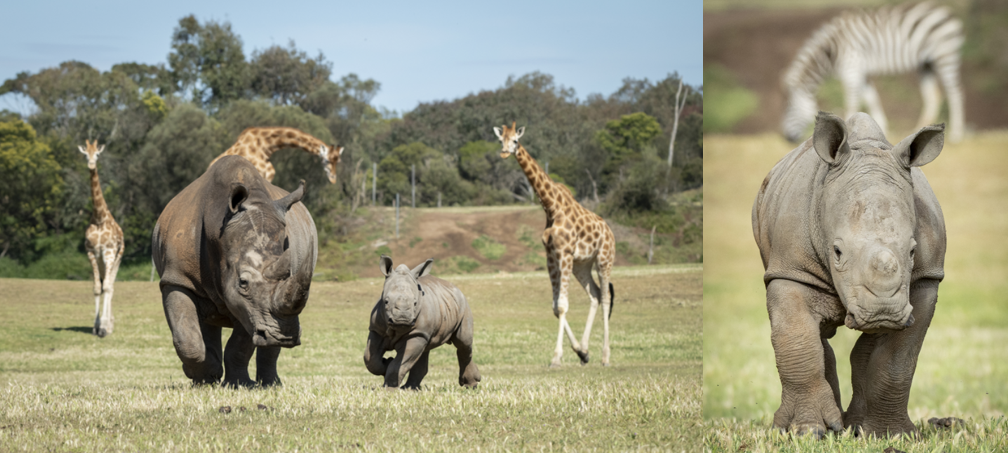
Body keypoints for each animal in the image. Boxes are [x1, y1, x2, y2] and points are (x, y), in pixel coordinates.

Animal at [152, 155, 317, 387]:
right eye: (243, 282)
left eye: (288, 275)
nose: (284, 336)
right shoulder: (177, 278)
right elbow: (187, 337)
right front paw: (204, 377)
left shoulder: (252, 308)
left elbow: (240, 344)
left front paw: (239, 384)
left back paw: (270, 385)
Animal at [364, 256, 481, 389]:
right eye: (386, 301)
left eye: (415, 303)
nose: (402, 319)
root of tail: (455, 287)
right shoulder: (376, 330)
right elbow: (370, 358)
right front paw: (386, 363)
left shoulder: (417, 333)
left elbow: (400, 364)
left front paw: (389, 389)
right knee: (424, 351)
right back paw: (410, 389)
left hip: (463, 306)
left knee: (463, 343)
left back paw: (471, 385)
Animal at [752, 112, 946, 438]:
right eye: (837, 251)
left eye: (912, 251)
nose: (883, 311)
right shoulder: (790, 270)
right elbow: (797, 342)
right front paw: (805, 431)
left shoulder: (925, 278)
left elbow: (897, 360)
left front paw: (890, 434)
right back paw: (833, 427)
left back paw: (854, 426)